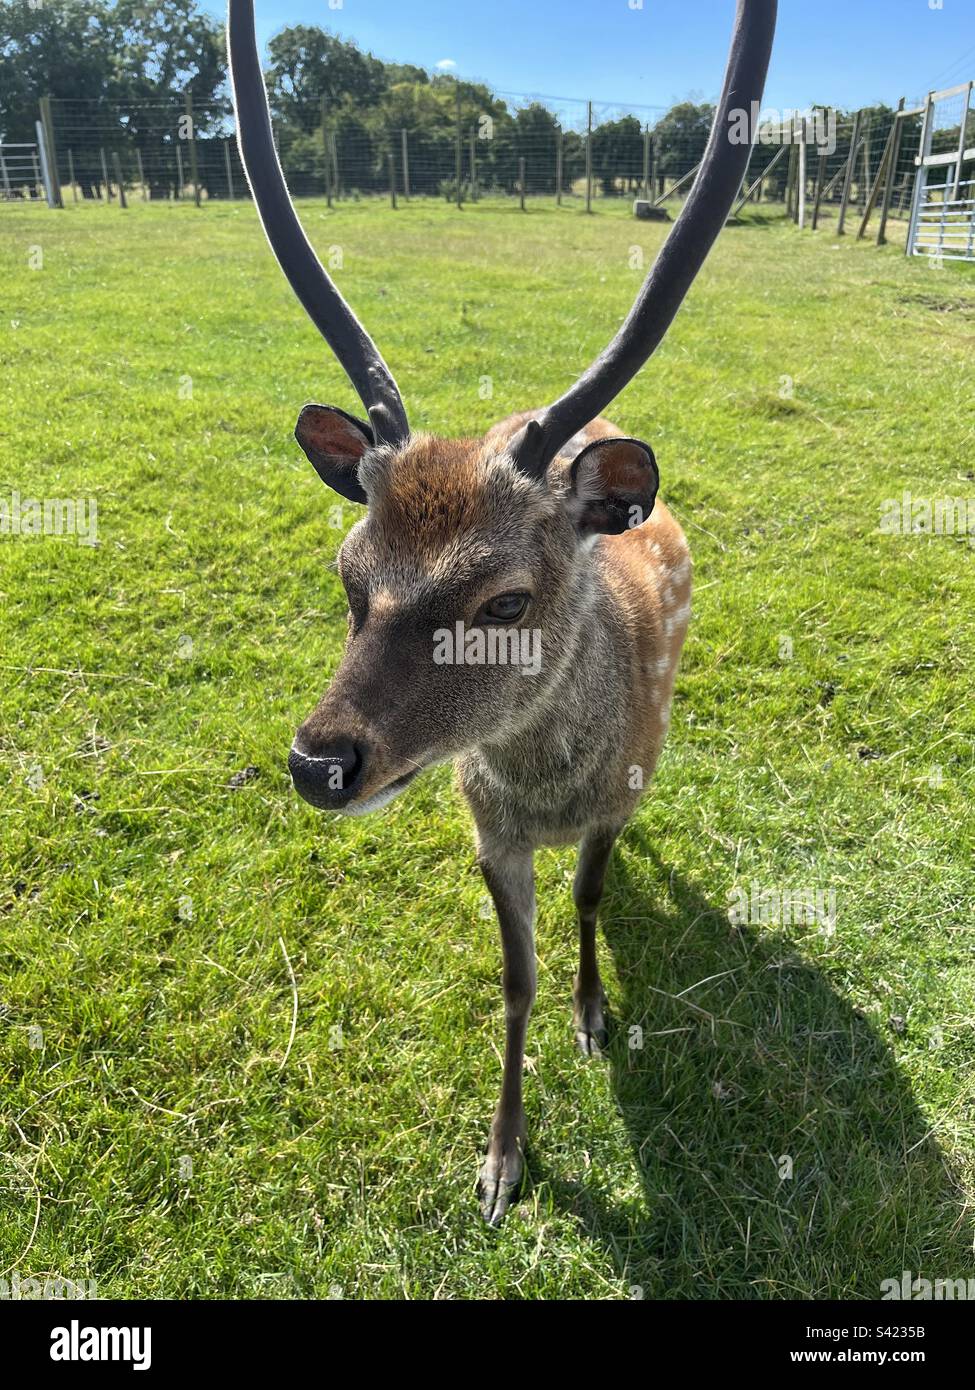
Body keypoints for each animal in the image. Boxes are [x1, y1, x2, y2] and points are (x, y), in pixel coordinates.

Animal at [228, 0, 776, 1224]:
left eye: (508, 597)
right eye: (346, 571)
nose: (319, 763)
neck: (547, 789)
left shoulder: (613, 798)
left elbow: (590, 900)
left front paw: (595, 1017)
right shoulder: (487, 827)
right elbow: (512, 977)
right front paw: (502, 1160)